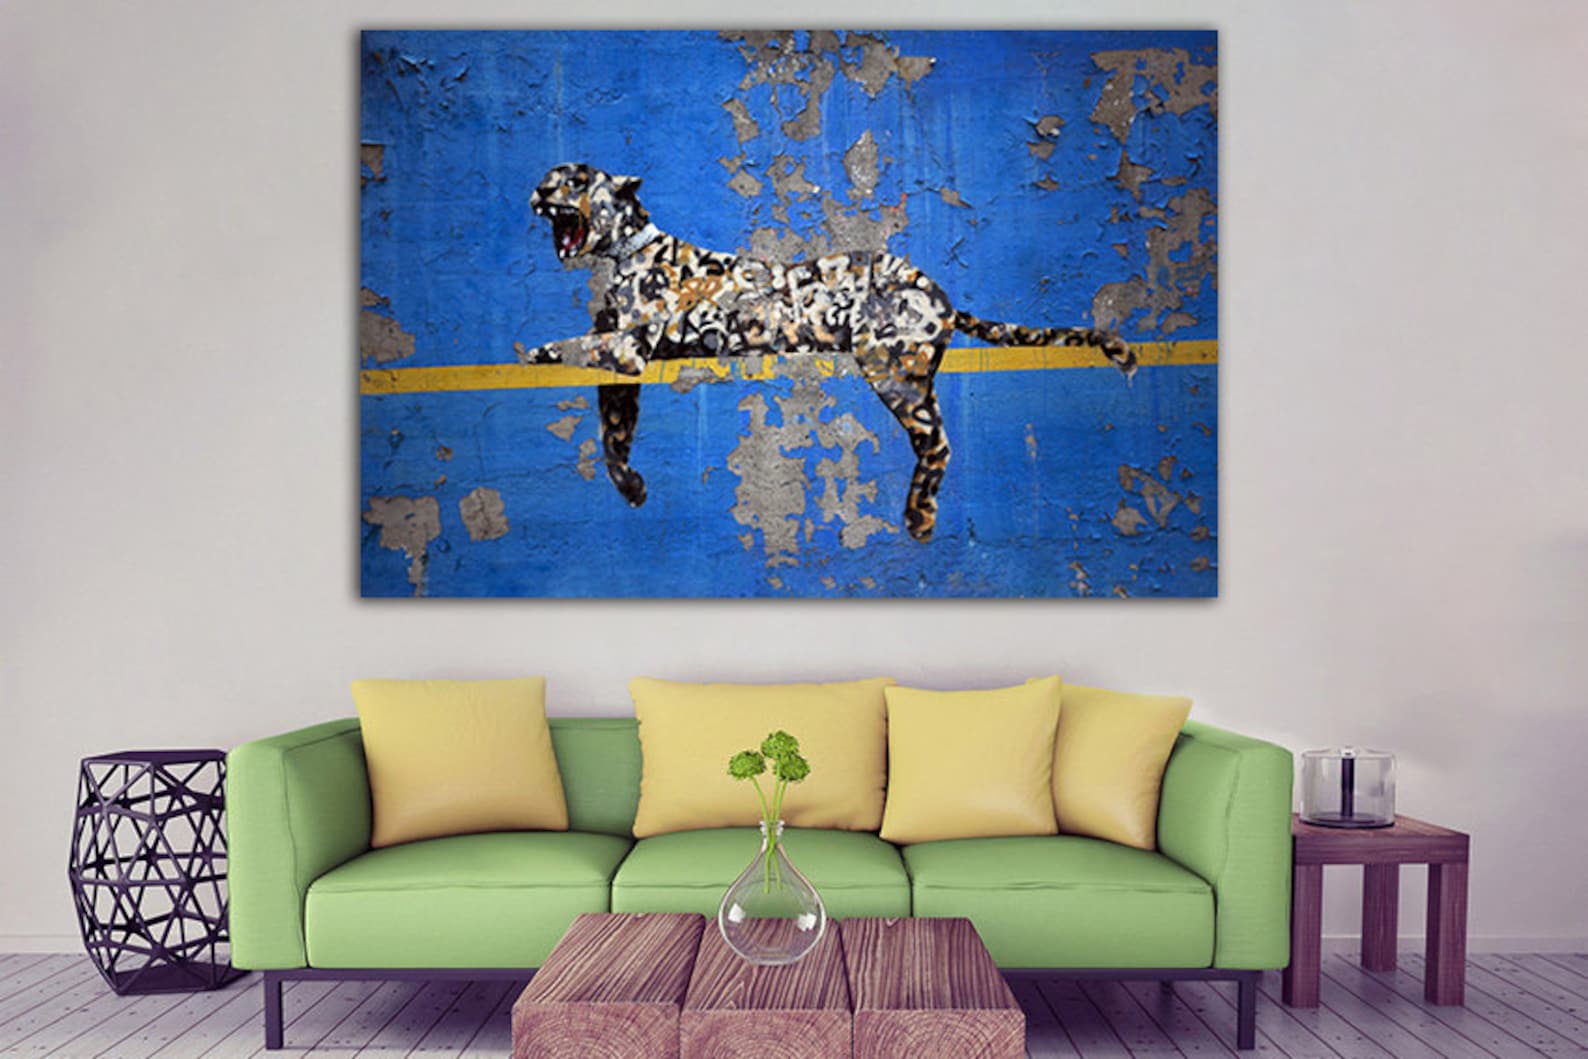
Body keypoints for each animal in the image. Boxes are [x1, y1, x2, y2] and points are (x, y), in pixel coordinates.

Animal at [522, 162, 1135, 542]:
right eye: (547, 178)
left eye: (576, 179)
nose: (539, 193)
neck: (618, 255)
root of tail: (940, 291)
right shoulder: (624, 372)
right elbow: (612, 434)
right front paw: (632, 487)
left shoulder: (627, 347)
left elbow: (576, 346)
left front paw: (533, 350)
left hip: (891, 371)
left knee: (937, 443)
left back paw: (918, 519)